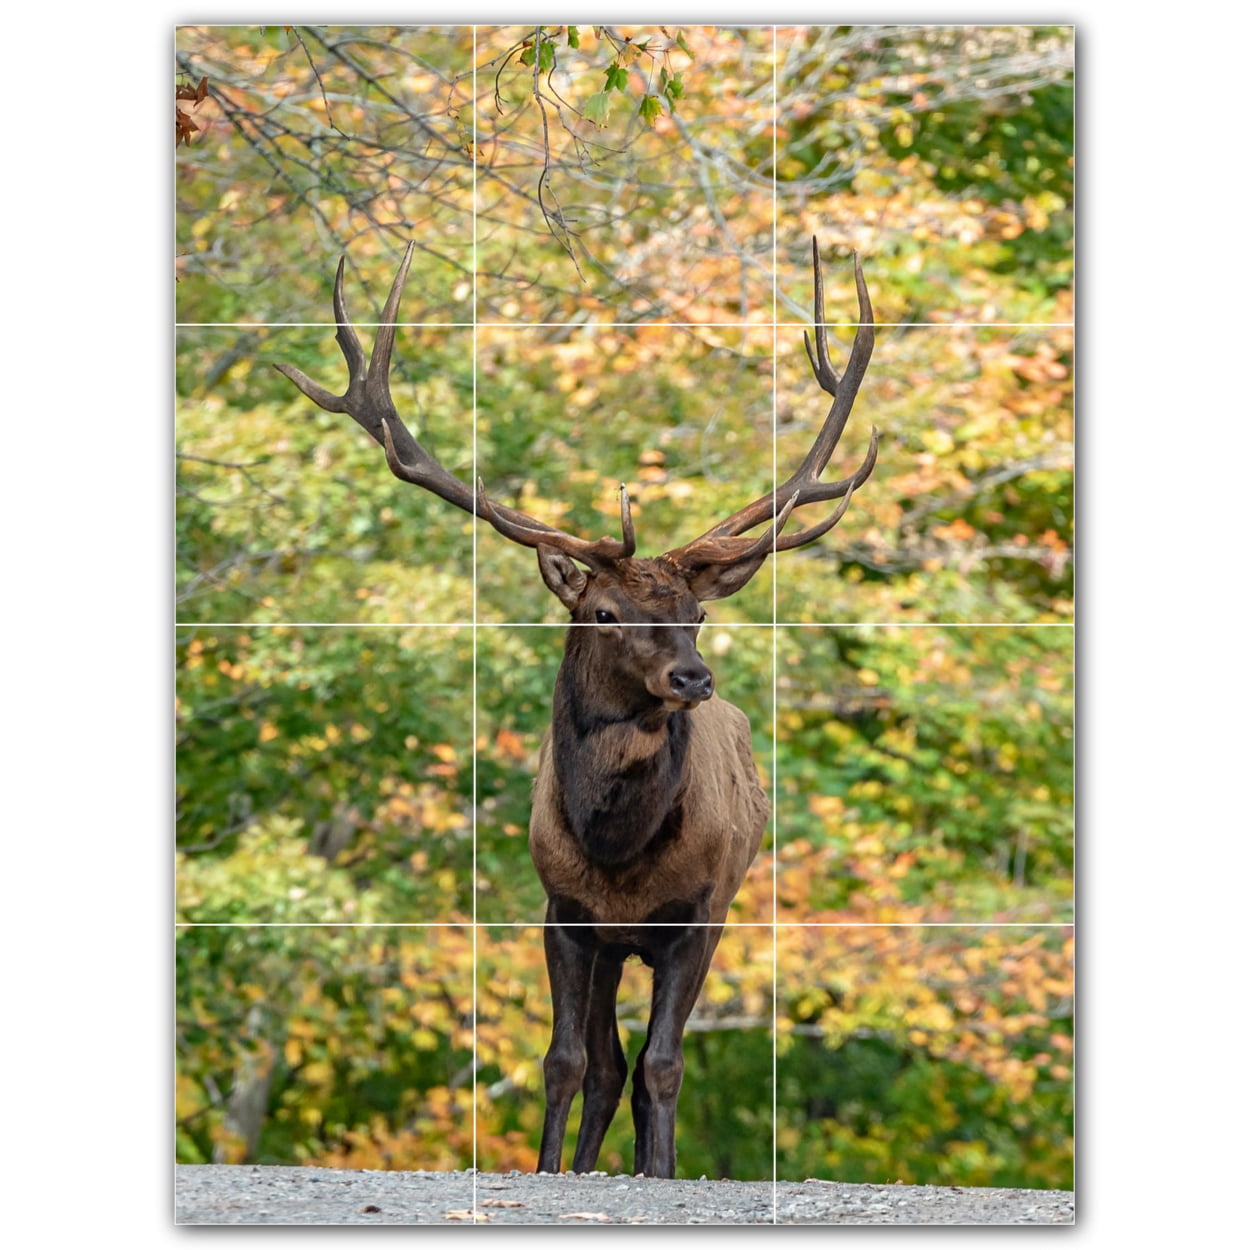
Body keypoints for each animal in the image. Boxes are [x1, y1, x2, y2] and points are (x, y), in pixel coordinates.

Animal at [276, 237, 877, 1179]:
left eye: (695, 612)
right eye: (603, 610)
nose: (692, 678)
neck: (618, 851)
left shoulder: (696, 916)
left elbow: (664, 1065)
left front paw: (658, 1173)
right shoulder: (563, 913)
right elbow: (565, 1061)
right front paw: (550, 1168)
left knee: (641, 1064)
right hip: (606, 947)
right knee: (603, 1065)